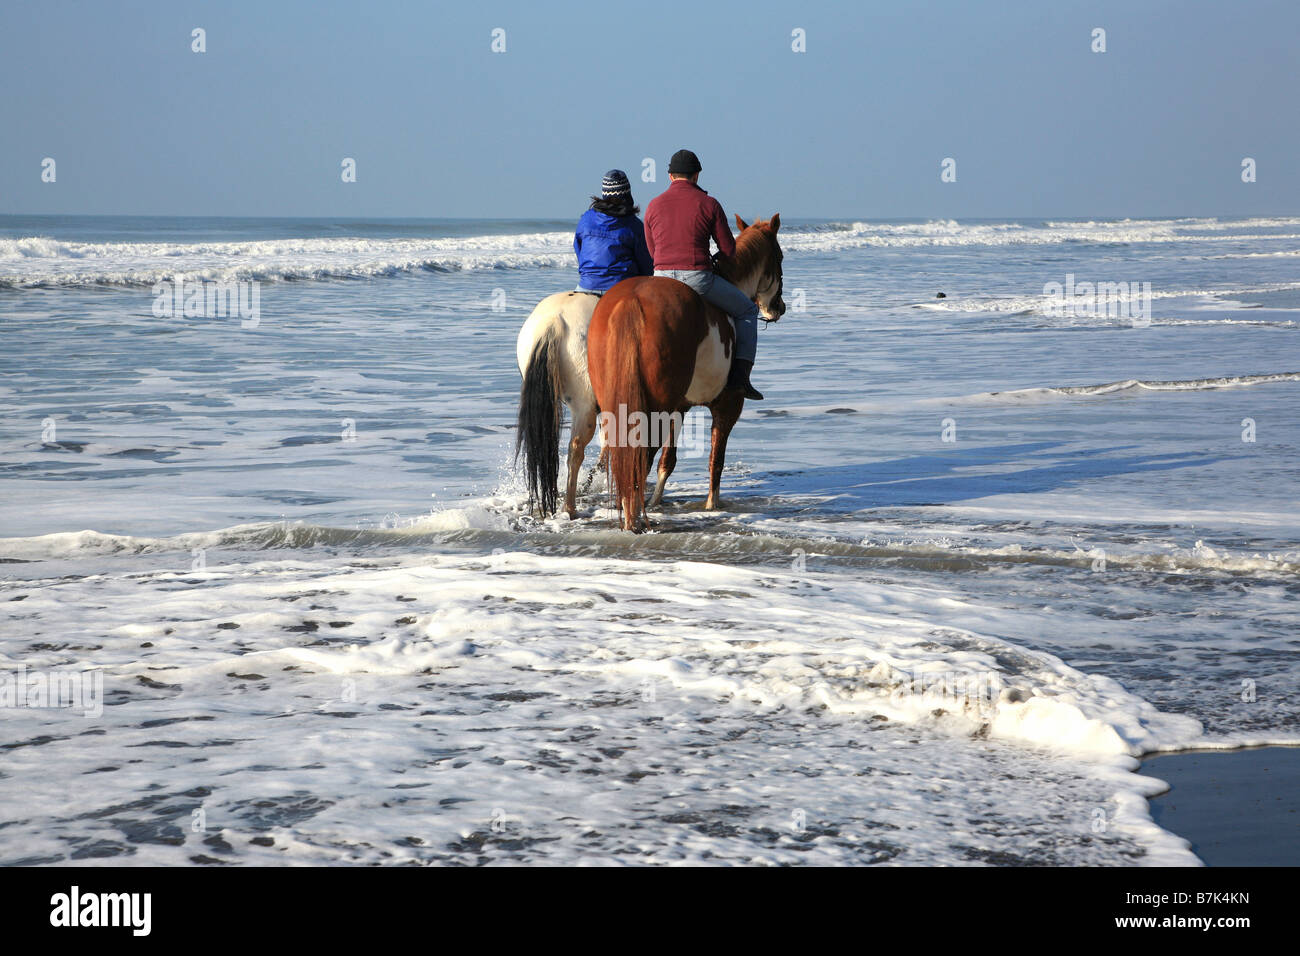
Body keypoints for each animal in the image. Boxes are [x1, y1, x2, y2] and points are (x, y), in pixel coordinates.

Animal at [586, 214, 785, 531]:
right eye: (779, 257)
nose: (779, 307)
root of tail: (631, 301)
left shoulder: (680, 407)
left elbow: (668, 460)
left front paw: (657, 500)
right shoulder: (727, 405)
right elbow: (716, 460)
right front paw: (712, 505)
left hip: (618, 403)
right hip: (653, 409)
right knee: (640, 457)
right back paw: (634, 517)